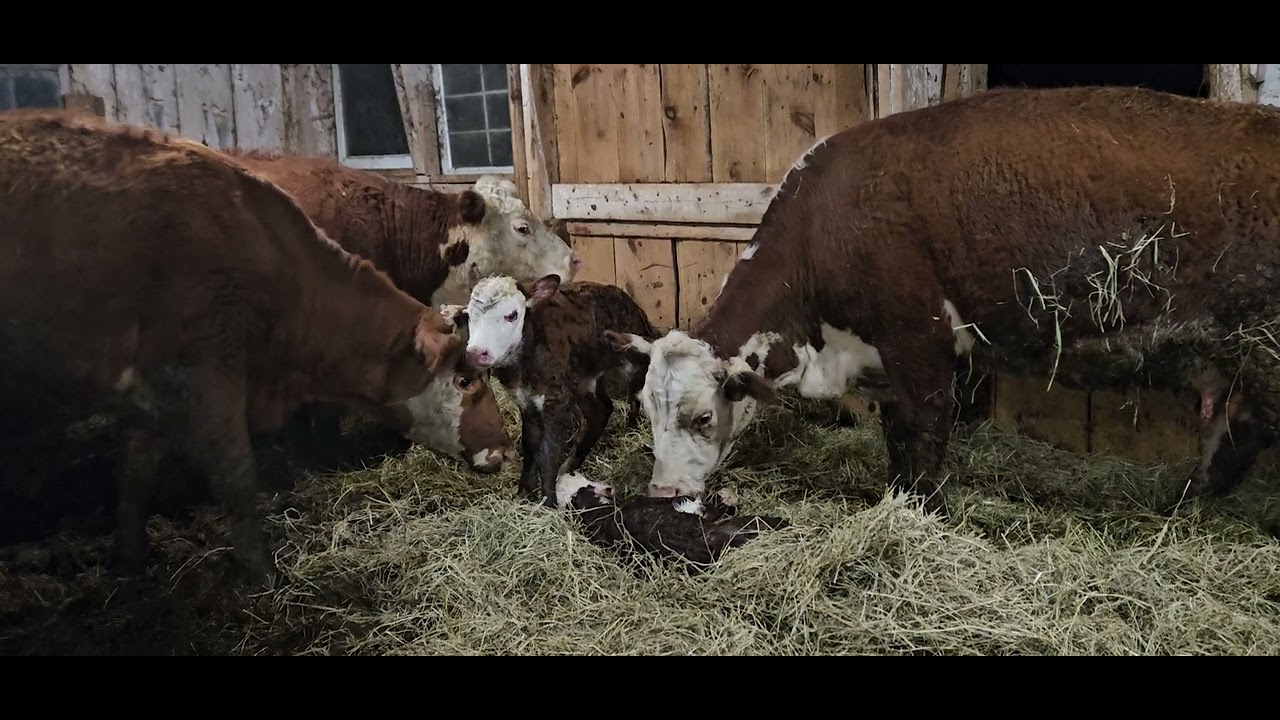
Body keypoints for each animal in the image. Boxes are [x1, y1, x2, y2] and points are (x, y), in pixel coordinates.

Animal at [0, 109, 466, 587]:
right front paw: (264, 573)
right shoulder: (206, 373)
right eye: (463, 378)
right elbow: (238, 474)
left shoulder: (149, 390)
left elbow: (135, 472)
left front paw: (129, 562)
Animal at [441, 274, 656, 504]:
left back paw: (632, 428)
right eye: (469, 316)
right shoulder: (525, 400)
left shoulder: (556, 399)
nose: (476, 352)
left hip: (631, 363)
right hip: (583, 378)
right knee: (601, 410)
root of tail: (631, 303)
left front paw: (549, 500)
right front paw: (524, 494)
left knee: (633, 396)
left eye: (512, 315)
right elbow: (530, 444)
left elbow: (548, 451)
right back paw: (573, 462)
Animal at [606, 85, 1280, 519]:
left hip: (1264, 347)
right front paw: (898, 495)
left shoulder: (918, 339)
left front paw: (922, 508)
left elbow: (924, 430)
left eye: (702, 416)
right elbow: (897, 434)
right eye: (644, 409)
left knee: (1246, 430)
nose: (662, 493)